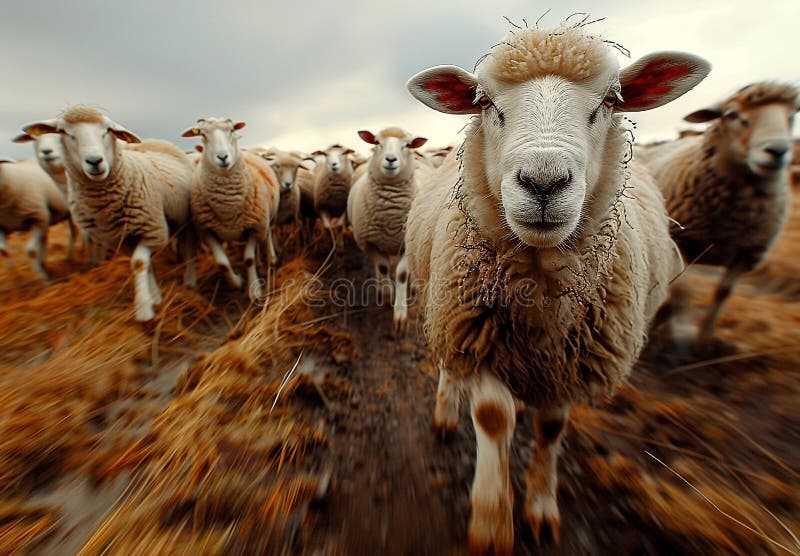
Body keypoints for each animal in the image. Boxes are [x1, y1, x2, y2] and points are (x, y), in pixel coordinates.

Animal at [23, 106, 197, 321]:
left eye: (107, 130)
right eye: (64, 132)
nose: (94, 161)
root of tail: (156, 141)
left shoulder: (152, 229)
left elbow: (139, 263)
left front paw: (144, 311)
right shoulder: (123, 239)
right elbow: (145, 264)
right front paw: (153, 298)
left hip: (186, 219)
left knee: (190, 249)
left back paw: (190, 280)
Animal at [181, 117, 280, 300]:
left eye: (232, 129)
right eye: (203, 134)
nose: (222, 157)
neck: (227, 204)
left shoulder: (255, 226)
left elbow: (248, 259)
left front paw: (255, 291)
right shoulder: (207, 231)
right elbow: (222, 263)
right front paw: (238, 281)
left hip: (268, 218)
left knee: (268, 234)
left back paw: (271, 259)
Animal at [346, 127, 427, 332]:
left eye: (407, 145)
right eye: (377, 143)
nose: (391, 159)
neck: (390, 214)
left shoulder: (406, 243)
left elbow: (401, 274)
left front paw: (400, 316)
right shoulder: (369, 242)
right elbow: (382, 267)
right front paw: (387, 296)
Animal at [405, 24, 709, 553]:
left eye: (610, 100)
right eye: (485, 102)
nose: (543, 183)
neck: (540, 291)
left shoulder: (573, 362)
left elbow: (549, 427)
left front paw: (541, 510)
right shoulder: (476, 336)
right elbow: (493, 416)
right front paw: (491, 524)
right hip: (444, 307)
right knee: (449, 364)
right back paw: (445, 415)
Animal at [639, 82, 799, 345]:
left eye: (792, 115)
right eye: (732, 114)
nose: (777, 151)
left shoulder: (746, 252)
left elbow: (723, 292)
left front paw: (704, 342)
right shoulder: (682, 241)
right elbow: (680, 290)